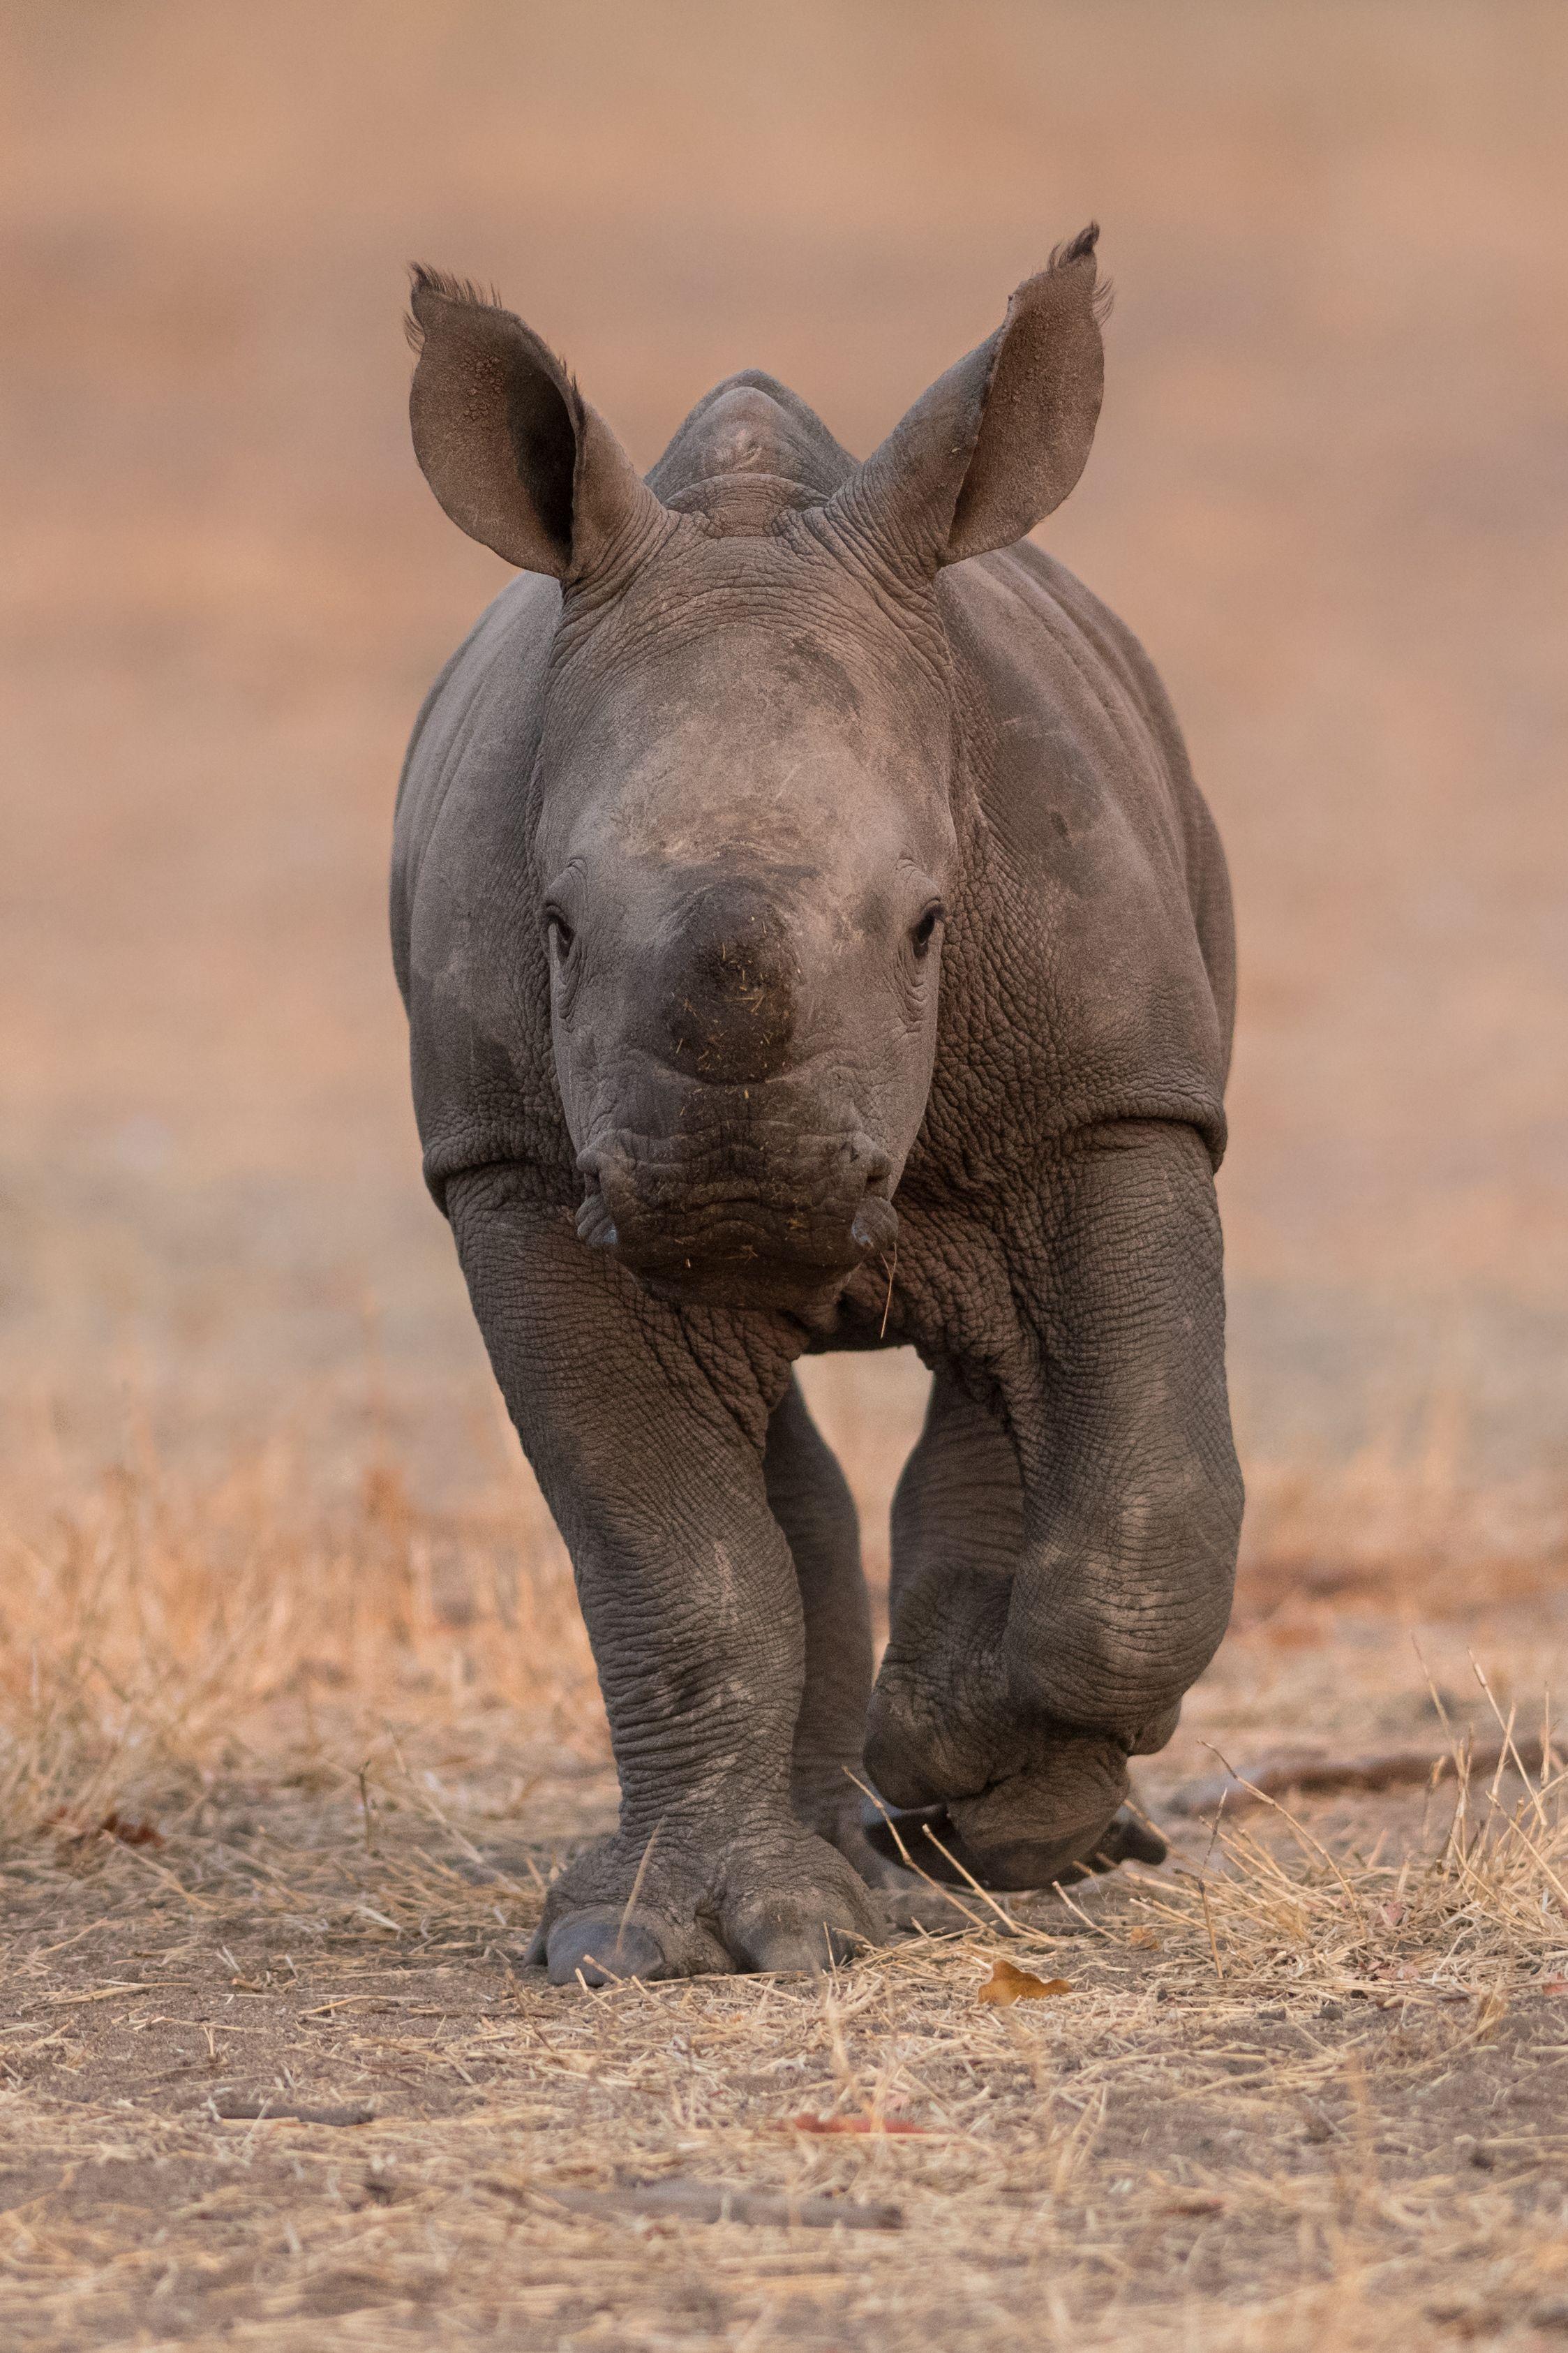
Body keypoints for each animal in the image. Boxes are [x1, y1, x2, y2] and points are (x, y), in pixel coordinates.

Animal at [393, 227, 1243, 1984]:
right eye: (555, 925)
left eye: (927, 924)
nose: (742, 1198)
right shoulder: (512, 1164)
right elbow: (674, 1555)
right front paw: (667, 1940)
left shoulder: (1116, 1099)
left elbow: (1148, 1506)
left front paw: (979, 1781)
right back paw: (835, 1867)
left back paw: (964, 1801)